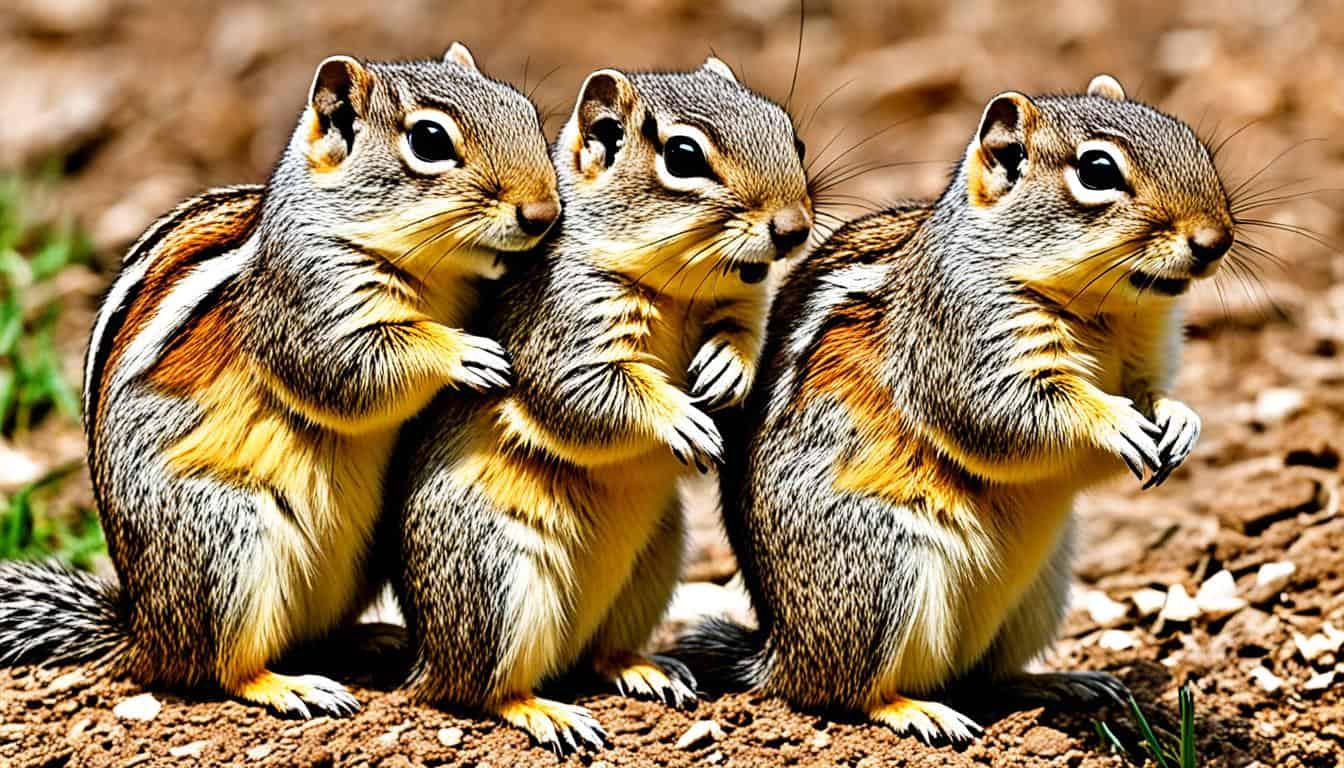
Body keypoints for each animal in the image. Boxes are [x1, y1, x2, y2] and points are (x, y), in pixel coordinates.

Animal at [0, 45, 559, 718]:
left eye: (527, 112)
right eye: (429, 140)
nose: (544, 212)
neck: (435, 271)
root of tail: (144, 628)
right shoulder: (303, 306)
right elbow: (348, 370)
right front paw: (461, 354)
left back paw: (369, 638)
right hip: (228, 545)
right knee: (220, 667)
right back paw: (289, 685)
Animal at [383, 58, 812, 754]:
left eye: (791, 136)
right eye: (683, 155)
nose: (794, 227)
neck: (678, 290)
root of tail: (427, 656)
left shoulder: (741, 304)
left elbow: (744, 335)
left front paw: (729, 367)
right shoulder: (561, 325)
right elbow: (590, 391)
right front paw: (681, 418)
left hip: (654, 564)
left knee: (598, 656)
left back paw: (642, 670)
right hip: (497, 579)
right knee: (478, 691)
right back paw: (544, 711)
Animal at [675, 74, 1234, 742]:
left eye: (1193, 142)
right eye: (1098, 170)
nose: (1216, 240)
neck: (1107, 311)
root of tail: (782, 651)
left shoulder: (1148, 356)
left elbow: (1156, 394)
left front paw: (1181, 421)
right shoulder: (962, 341)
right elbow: (1010, 415)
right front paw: (1117, 421)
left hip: (1040, 590)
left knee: (985, 677)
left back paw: (1061, 682)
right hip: (882, 571)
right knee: (845, 693)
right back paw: (918, 711)